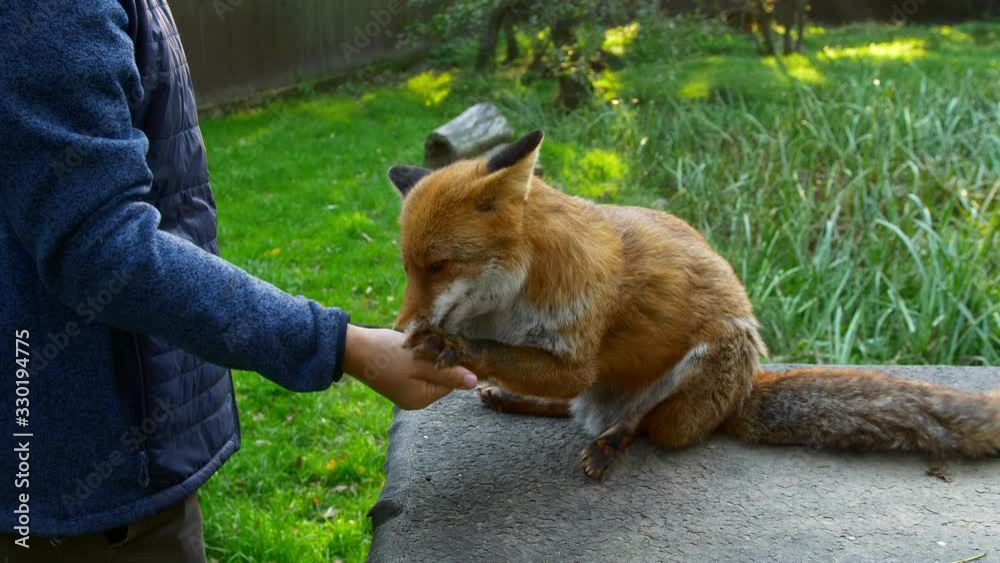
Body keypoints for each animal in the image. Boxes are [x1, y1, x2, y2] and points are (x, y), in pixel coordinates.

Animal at [387, 130, 1000, 480]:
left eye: (437, 267)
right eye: (407, 267)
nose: (398, 327)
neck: (509, 303)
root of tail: (745, 391)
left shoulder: (576, 352)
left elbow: (499, 353)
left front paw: (446, 344)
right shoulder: (549, 353)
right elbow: (514, 362)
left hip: (702, 367)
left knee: (636, 425)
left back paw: (610, 445)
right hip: (611, 391)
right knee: (574, 410)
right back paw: (517, 401)